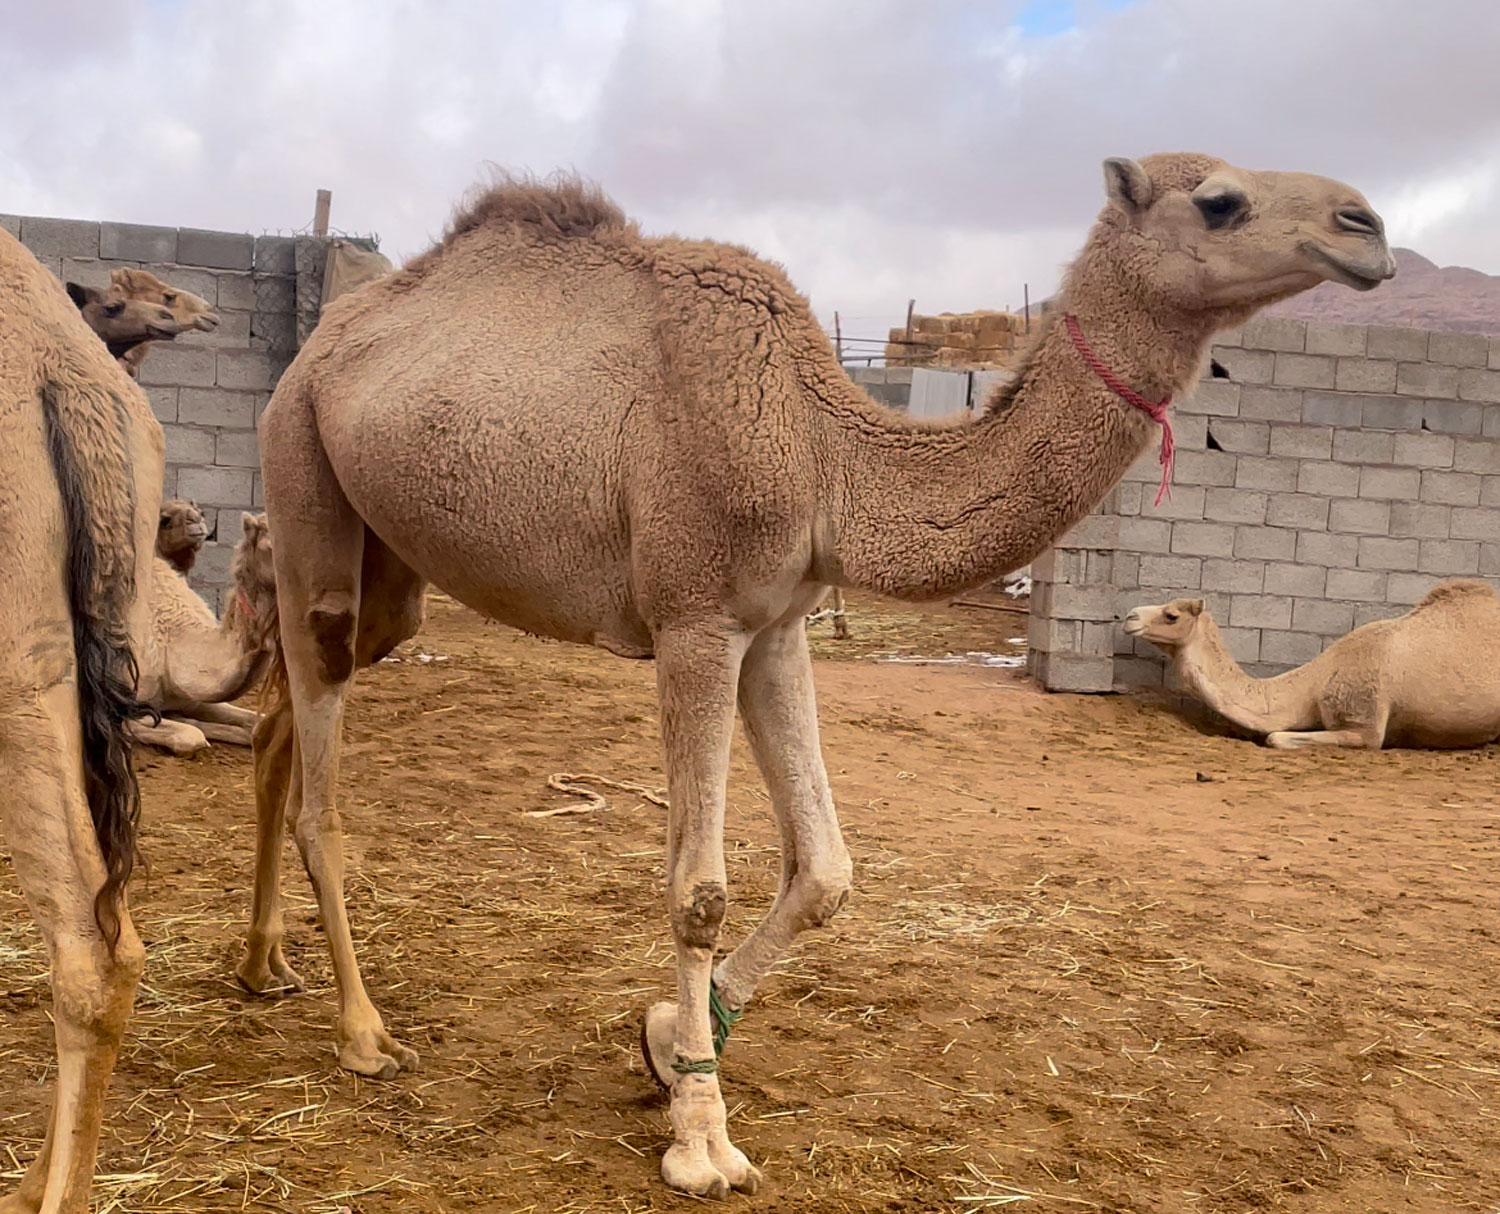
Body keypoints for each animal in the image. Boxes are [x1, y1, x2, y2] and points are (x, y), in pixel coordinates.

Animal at [235, 154, 1392, 1198]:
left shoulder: (778, 624)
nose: (1368, 226)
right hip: (301, 473)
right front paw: (702, 1137)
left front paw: (669, 1039)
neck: (825, 450)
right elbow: (698, 892)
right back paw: (364, 1030)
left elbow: (828, 869)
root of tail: (320, 346)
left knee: (285, 718)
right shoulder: (695, 617)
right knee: (320, 766)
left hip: (395, 567)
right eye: (1220, 199)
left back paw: (261, 964)